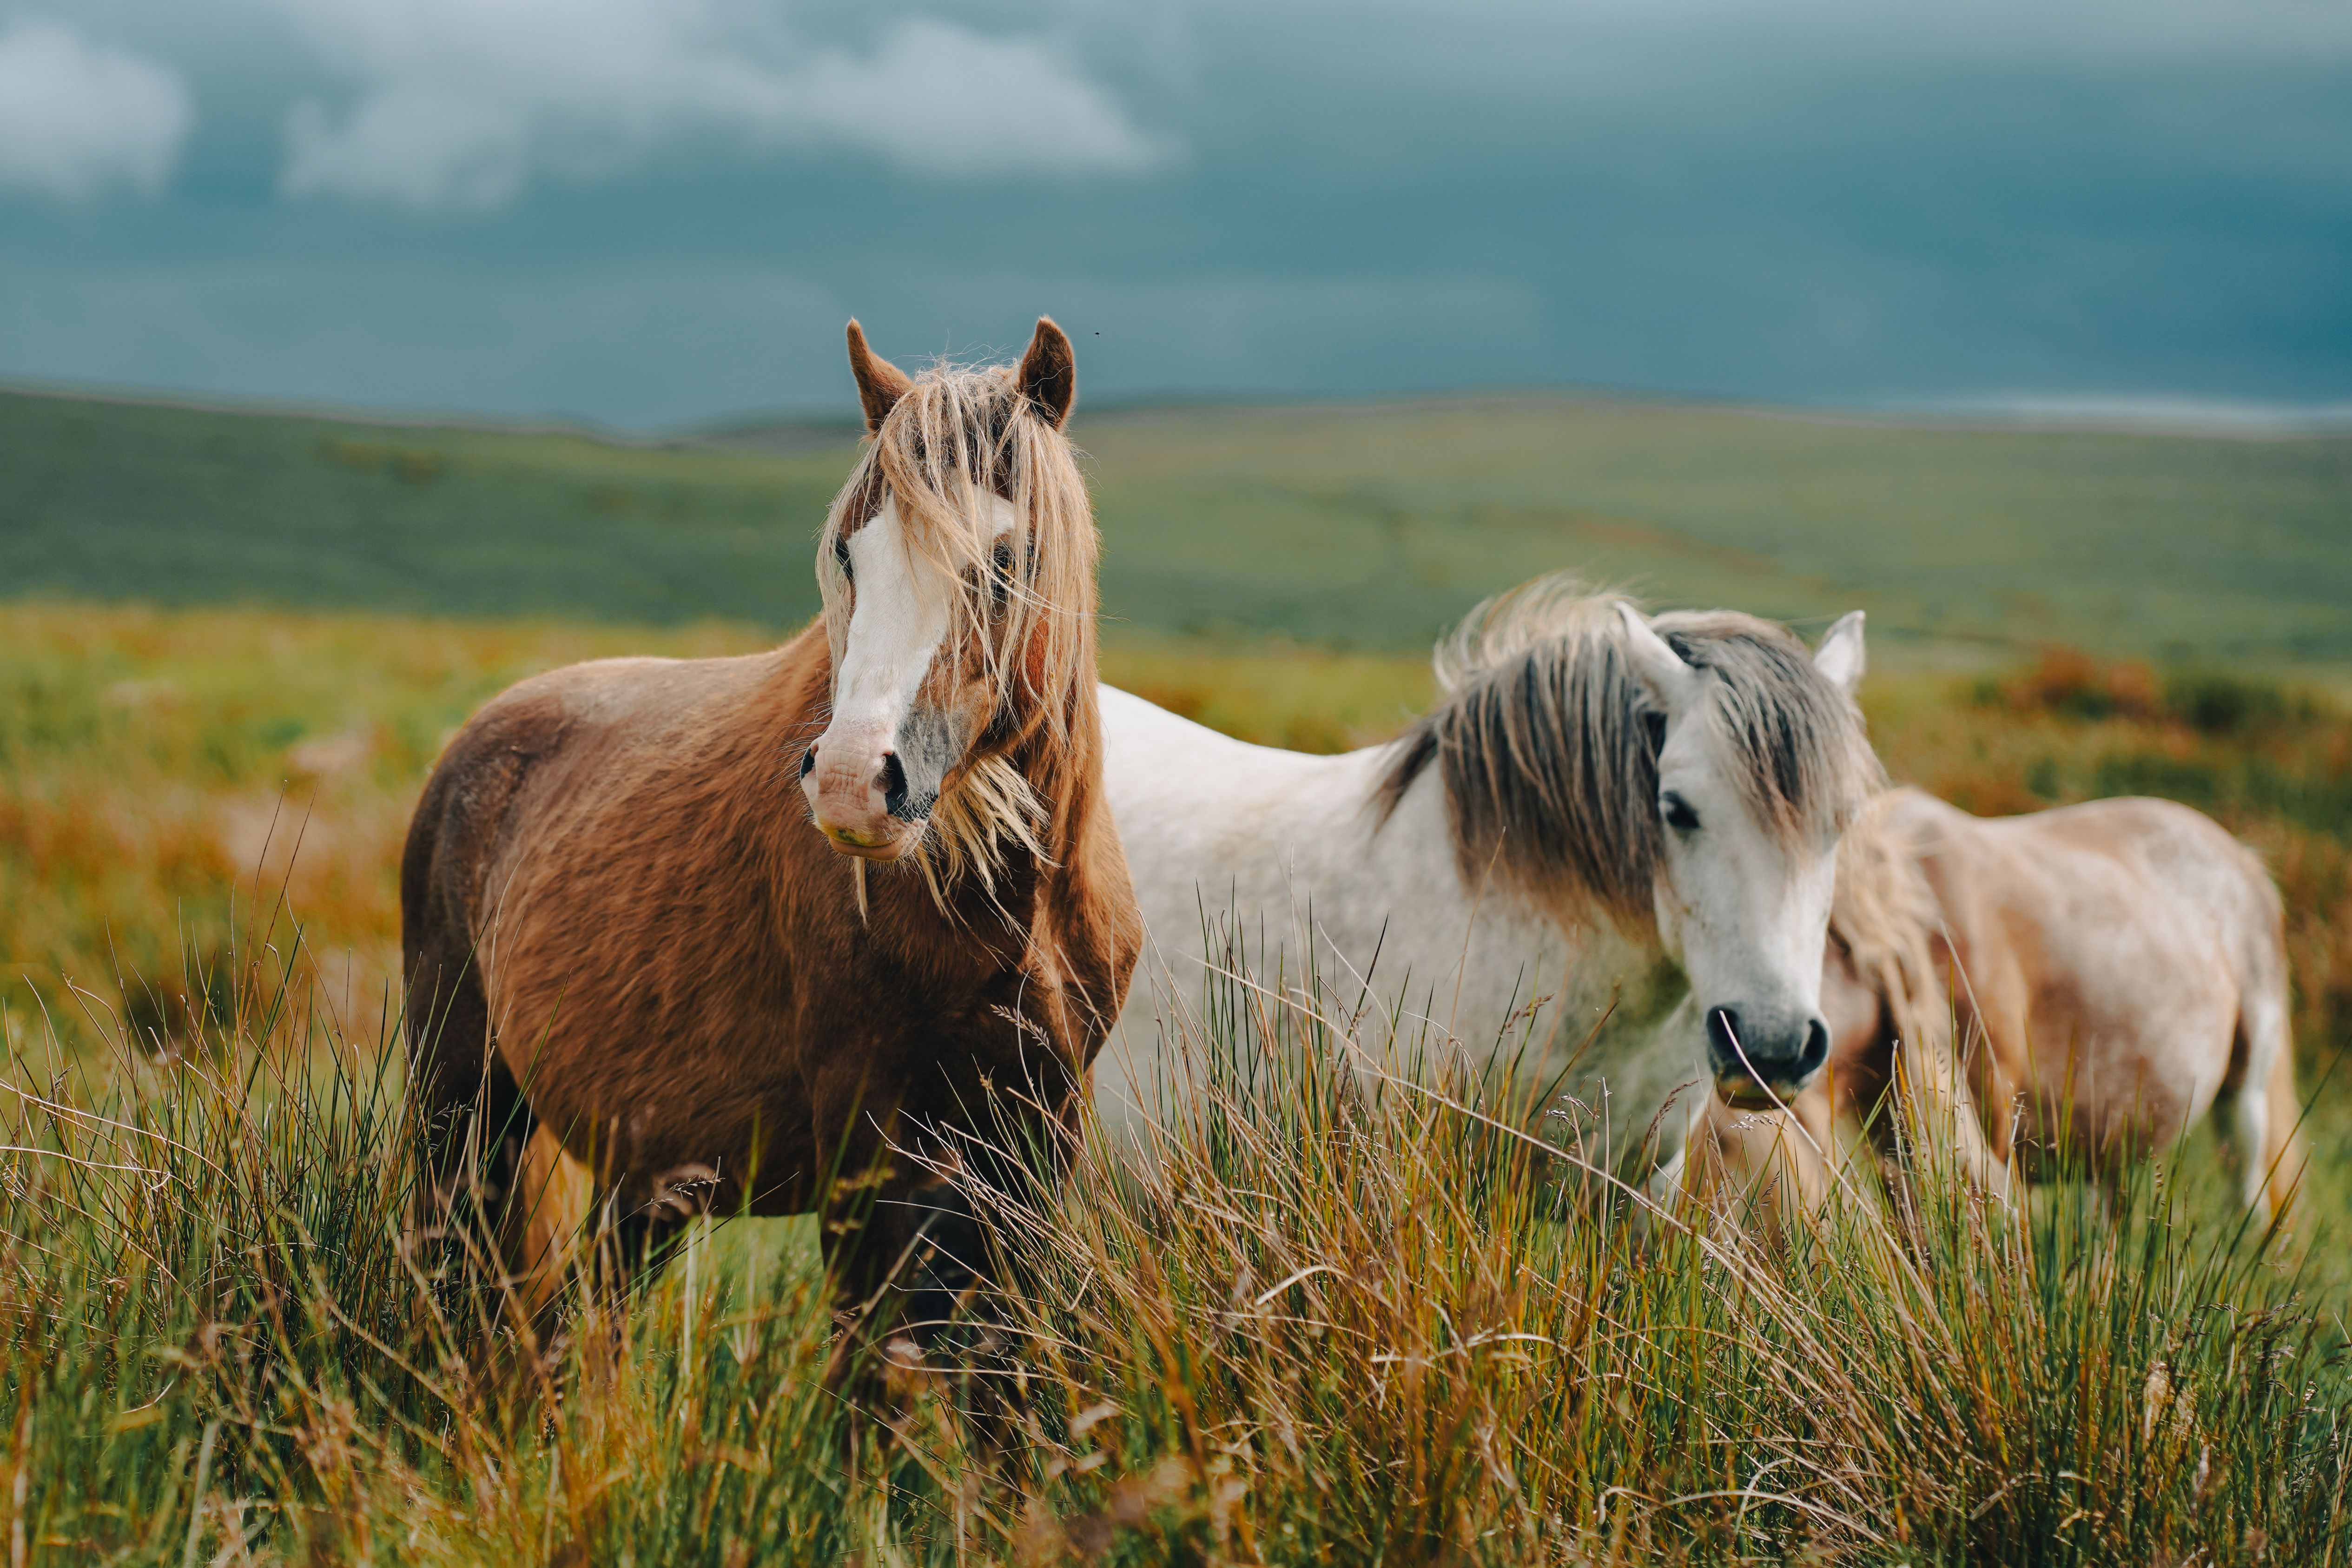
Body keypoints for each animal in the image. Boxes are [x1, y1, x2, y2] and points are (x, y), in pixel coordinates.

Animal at [401, 318, 1143, 1347]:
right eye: (849, 554)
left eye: (1003, 560)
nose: (851, 783)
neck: (1006, 910)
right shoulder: (865, 1139)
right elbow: (871, 1364)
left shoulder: (1037, 1134)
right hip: (465, 1116)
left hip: (646, 1179)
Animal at [1683, 787, 2308, 1227]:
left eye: (1724, 1156)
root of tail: (2239, 857)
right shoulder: (1896, 1136)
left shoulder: (1988, 1118)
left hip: (2244, 1096)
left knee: (2248, 1203)